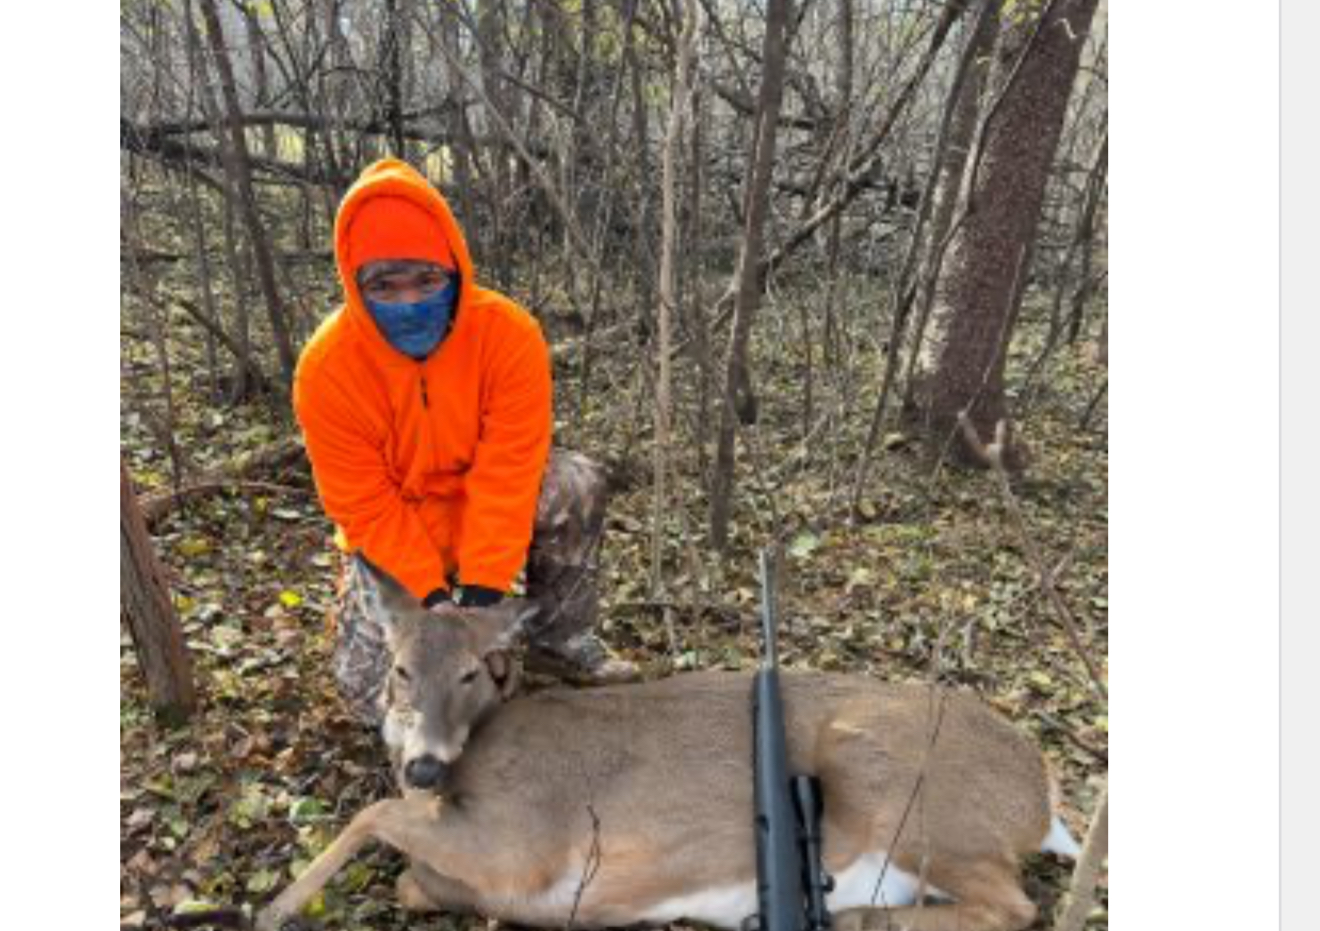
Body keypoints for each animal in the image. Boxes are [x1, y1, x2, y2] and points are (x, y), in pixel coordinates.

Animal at [255, 555, 1079, 931]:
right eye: (398, 667)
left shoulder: (525, 838)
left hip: (901, 788)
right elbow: (406, 870)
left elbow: (372, 819)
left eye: (468, 670)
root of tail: (1041, 793)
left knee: (1016, 905)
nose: (425, 763)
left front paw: (272, 907)